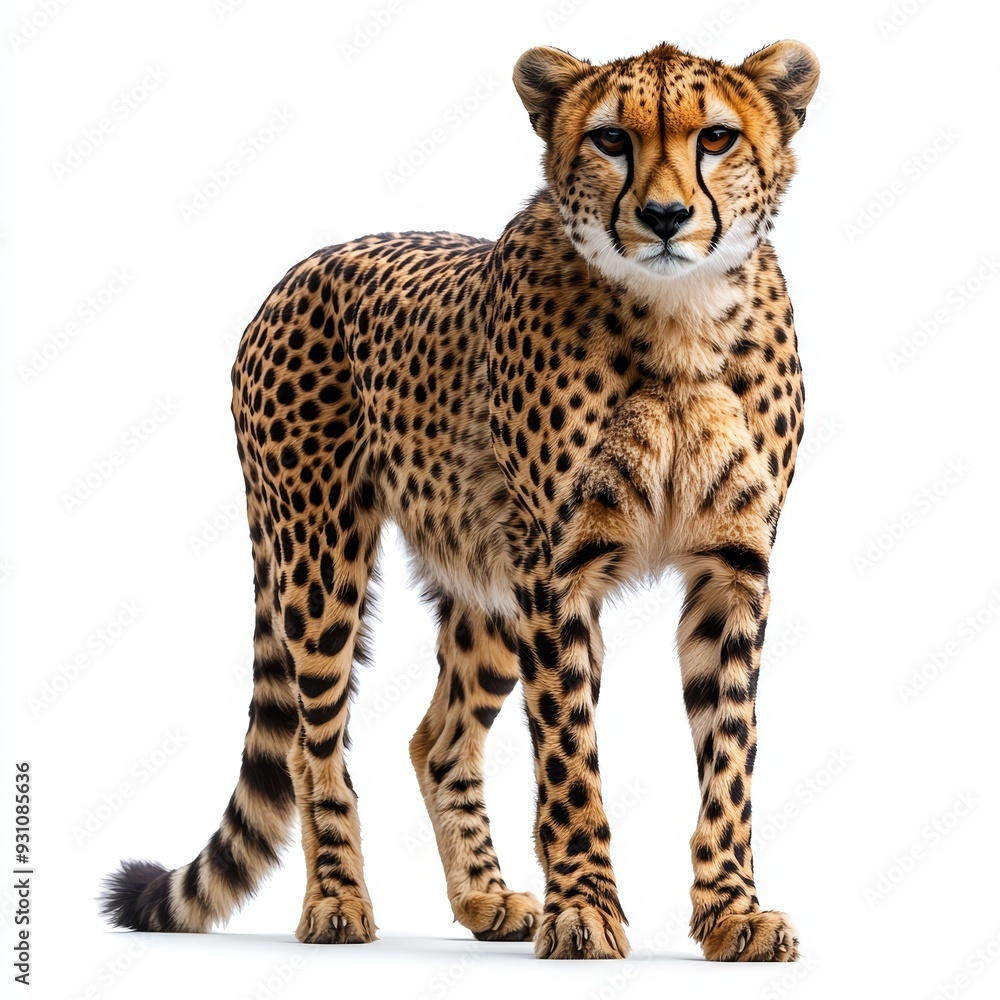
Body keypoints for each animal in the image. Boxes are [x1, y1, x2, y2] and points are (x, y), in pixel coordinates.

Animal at [100, 38, 820, 962]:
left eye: (718, 138)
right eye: (612, 139)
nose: (664, 216)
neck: (680, 317)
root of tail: (306, 265)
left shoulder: (732, 565)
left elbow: (729, 751)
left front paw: (733, 909)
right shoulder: (558, 570)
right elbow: (569, 752)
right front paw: (585, 908)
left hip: (483, 584)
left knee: (436, 739)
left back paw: (485, 897)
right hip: (319, 558)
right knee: (309, 742)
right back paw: (336, 901)